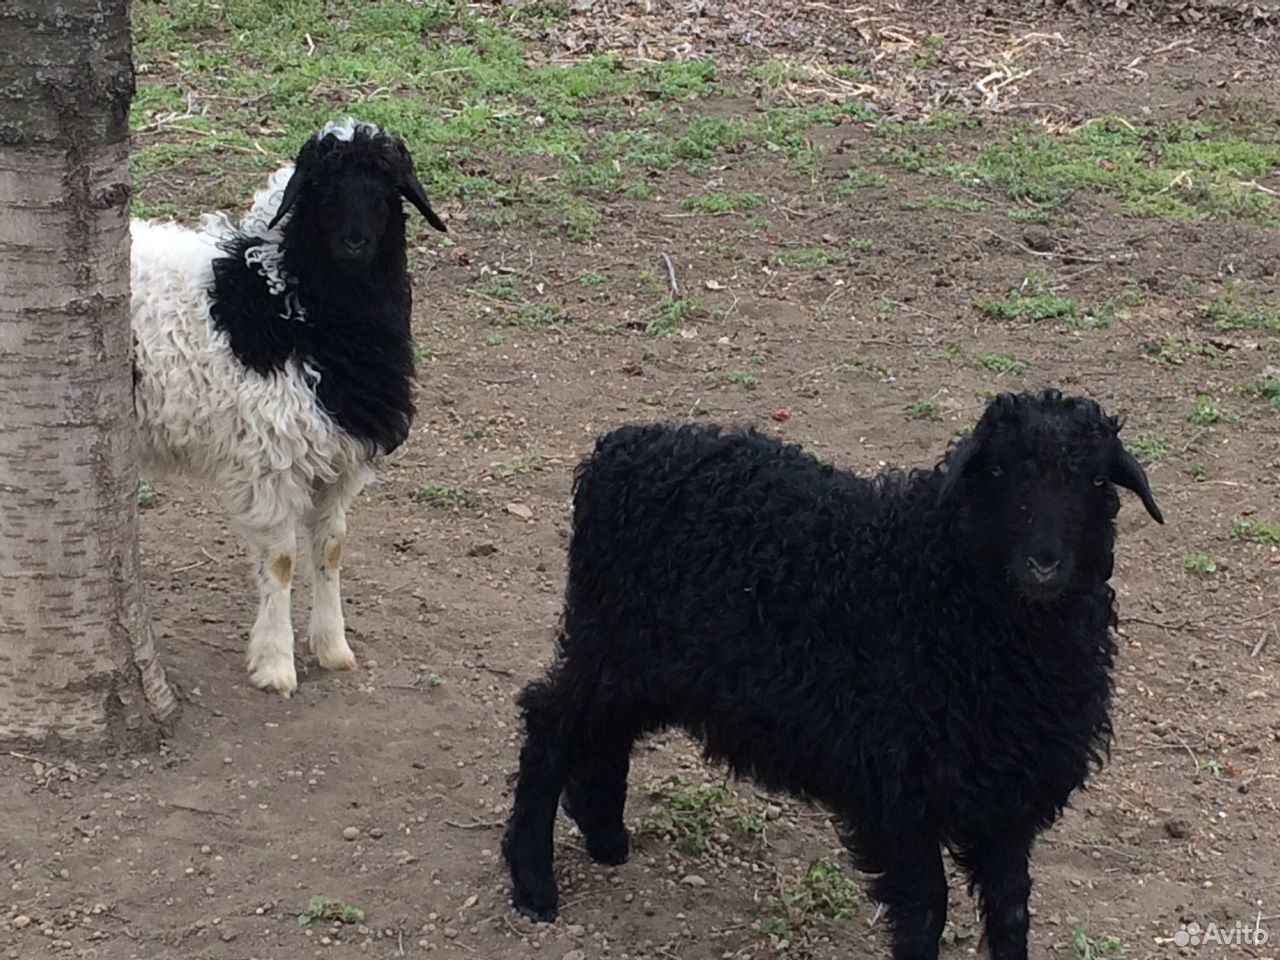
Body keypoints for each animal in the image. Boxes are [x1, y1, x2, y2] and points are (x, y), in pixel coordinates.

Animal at [130, 119, 446, 698]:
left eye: (388, 190)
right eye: (322, 188)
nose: (354, 242)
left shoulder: (338, 460)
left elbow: (331, 549)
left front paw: (333, 646)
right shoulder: (270, 458)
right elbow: (280, 562)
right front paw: (276, 664)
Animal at [503, 389, 1164, 960]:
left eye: (1097, 479)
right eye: (998, 472)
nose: (1043, 563)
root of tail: (619, 450)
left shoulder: (1006, 802)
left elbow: (1011, 913)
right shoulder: (897, 789)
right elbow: (925, 912)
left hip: (640, 667)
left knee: (603, 736)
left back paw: (605, 837)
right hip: (613, 645)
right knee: (550, 725)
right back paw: (534, 884)